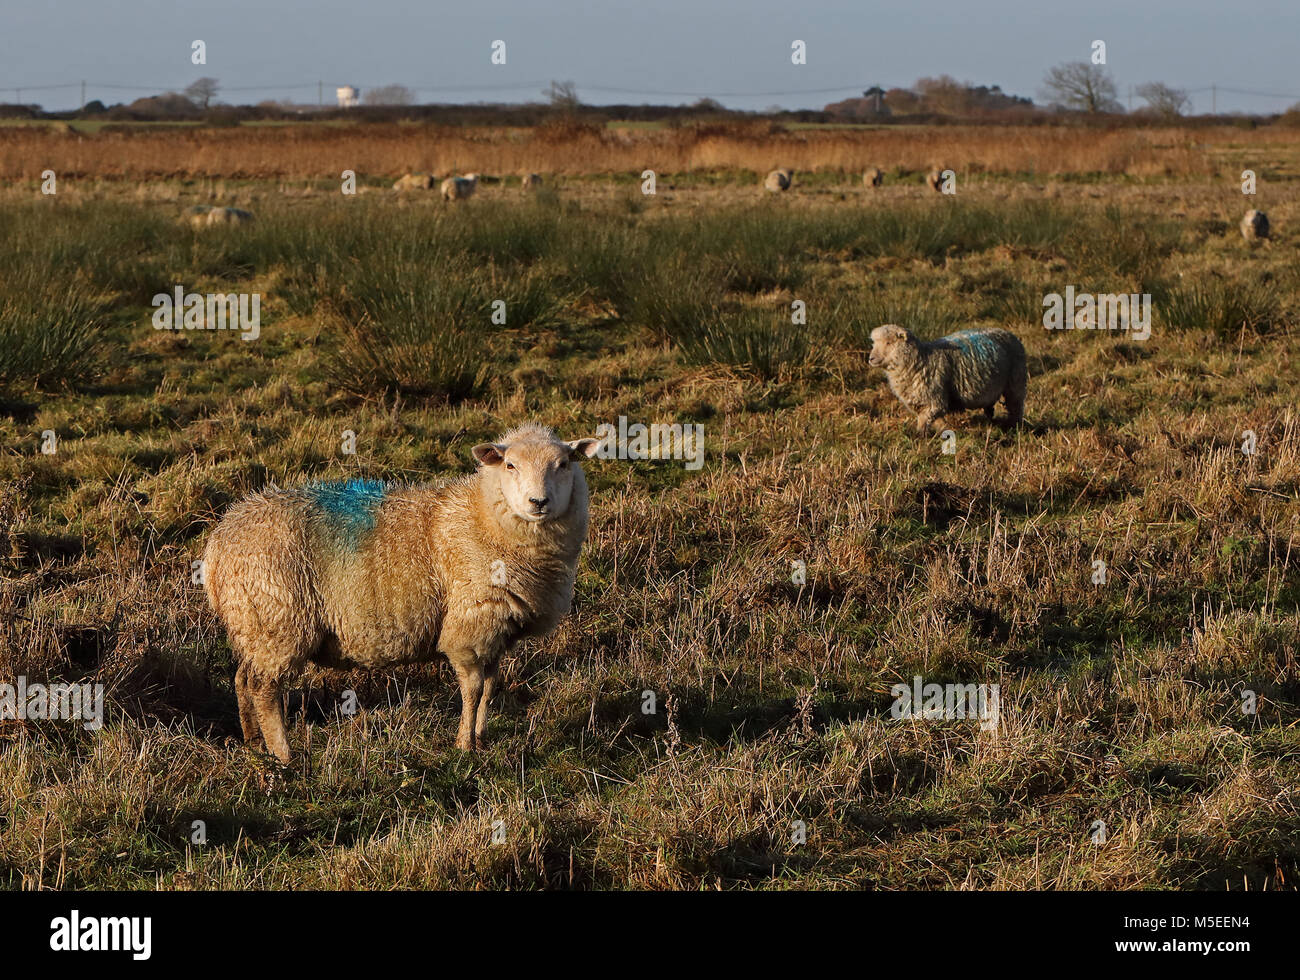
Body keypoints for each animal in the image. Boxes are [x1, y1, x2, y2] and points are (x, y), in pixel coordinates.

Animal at [203, 424, 601, 763]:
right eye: (510, 464)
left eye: (564, 464)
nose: (539, 502)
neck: (483, 514)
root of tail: (218, 544)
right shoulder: (471, 627)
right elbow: (473, 689)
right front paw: (464, 745)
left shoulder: (497, 630)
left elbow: (490, 688)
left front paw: (481, 738)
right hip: (279, 621)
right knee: (264, 689)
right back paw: (284, 755)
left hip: (252, 622)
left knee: (243, 678)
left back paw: (254, 743)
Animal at [868, 324, 1026, 432]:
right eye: (874, 343)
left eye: (889, 343)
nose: (871, 358)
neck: (922, 359)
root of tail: (1008, 333)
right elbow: (935, 421)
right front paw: (945, 430)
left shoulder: (934, 400)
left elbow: (924, 422)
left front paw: (920, 438)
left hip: (1016, 383)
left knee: (1016, 407)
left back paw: (1015, 427)